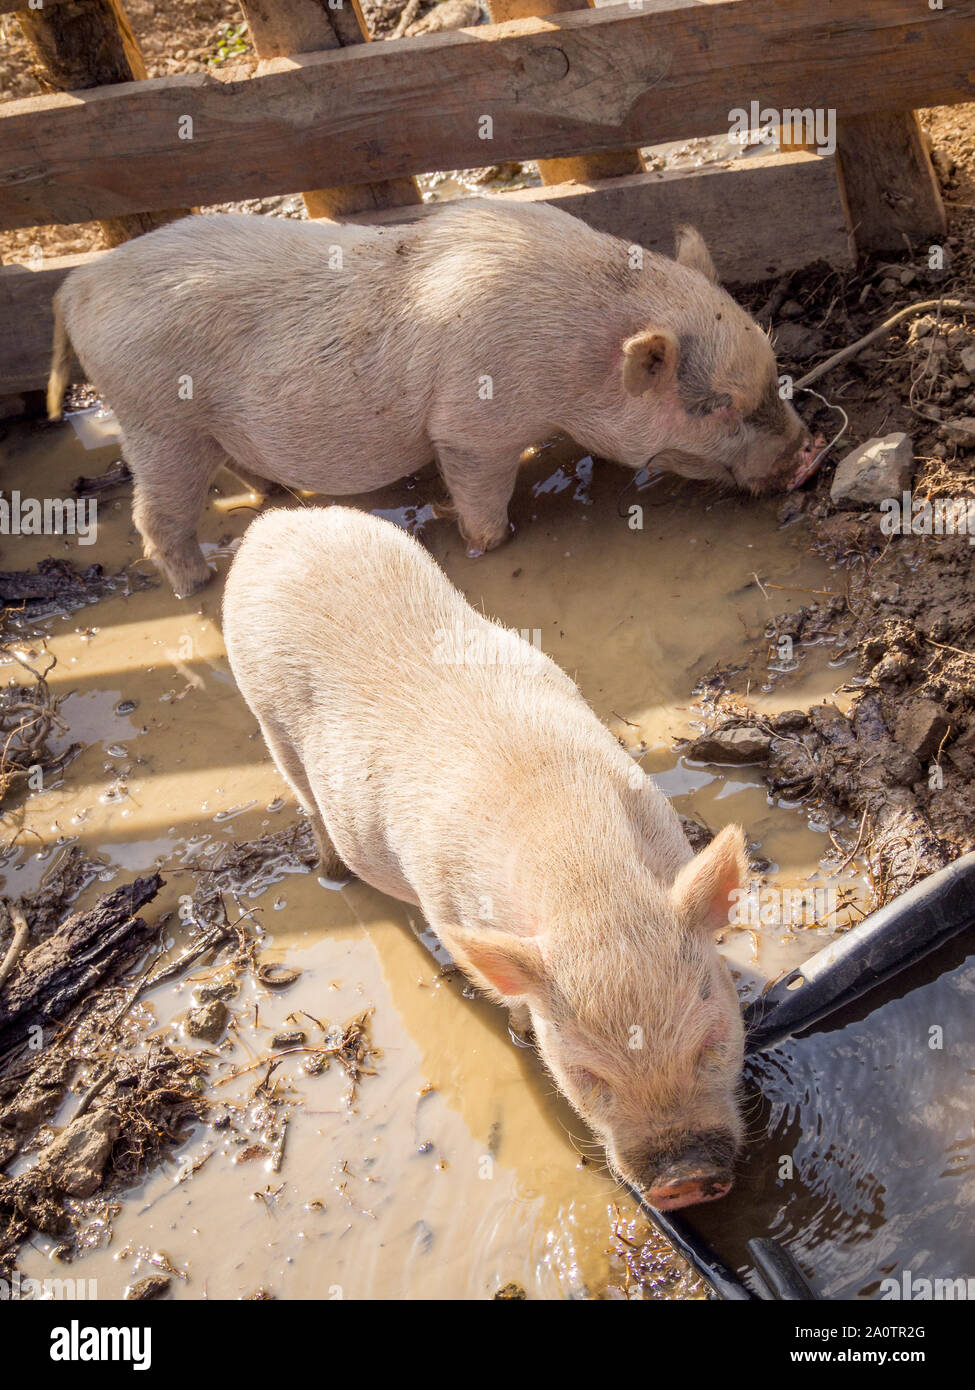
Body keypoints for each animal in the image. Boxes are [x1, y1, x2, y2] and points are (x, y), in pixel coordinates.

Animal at [48, 202, 818, 598]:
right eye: (717, 405)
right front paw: (486, 544)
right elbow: (478, 492)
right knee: (156, 516)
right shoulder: (471, 428)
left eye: (771, 363)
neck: (578, 360)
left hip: (201, 427)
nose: (810, 452)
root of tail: (79, 285)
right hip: (157, 421)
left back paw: (273, 497)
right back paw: (198, 583)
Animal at [222, 504, 748, 1209]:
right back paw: (332, 875)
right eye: (585, 1075)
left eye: (712, 1041)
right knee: (306, 800)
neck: (584, 877)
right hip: (266, 720)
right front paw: (523, 1031)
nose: (683, 1181)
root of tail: (273, 525)